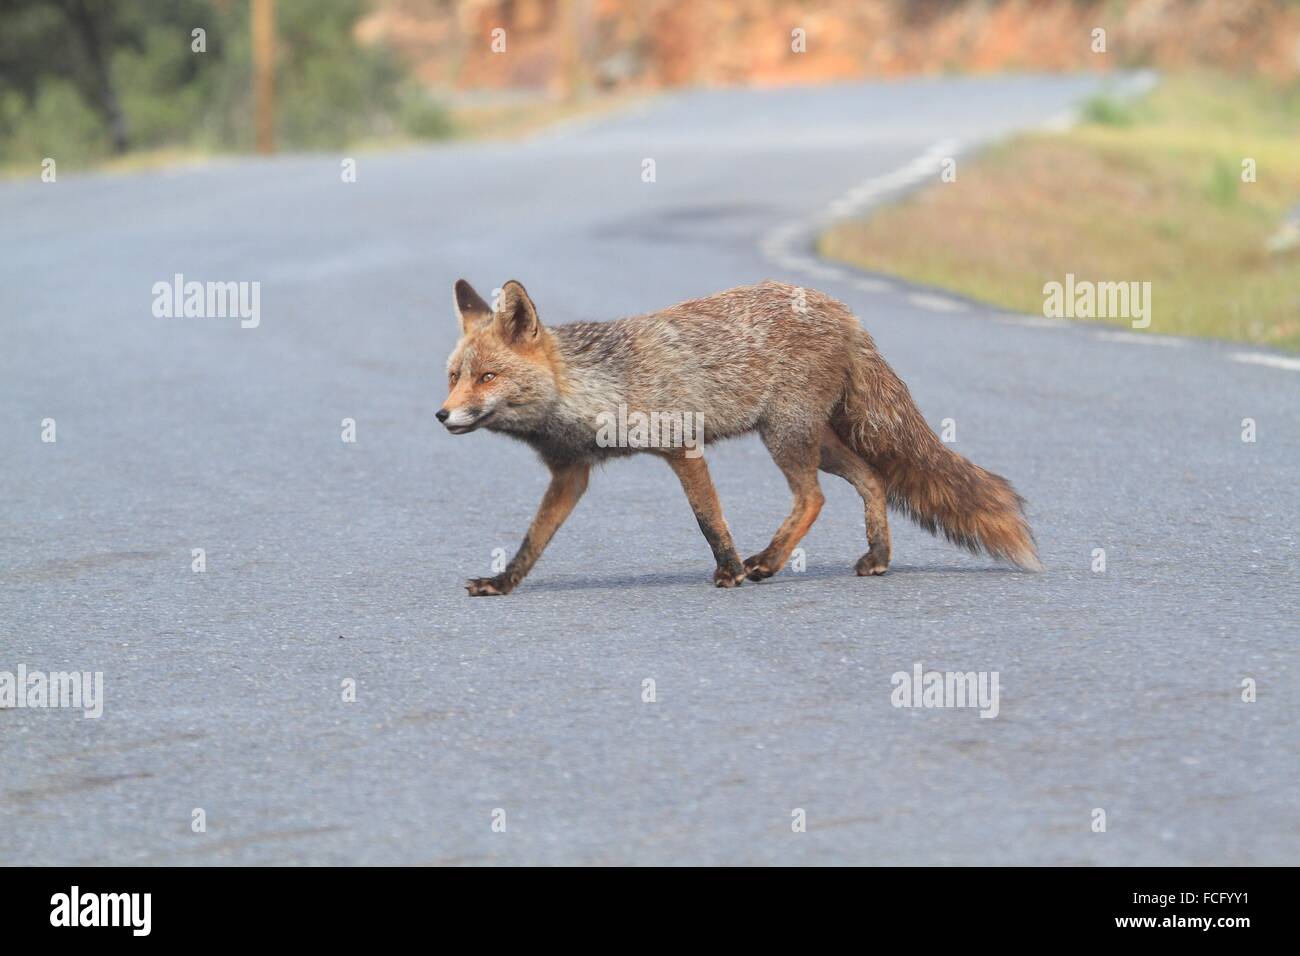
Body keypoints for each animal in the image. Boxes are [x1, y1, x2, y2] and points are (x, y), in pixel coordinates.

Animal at [438, 278, 1041, 595]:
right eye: (454, 376)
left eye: (487, 377)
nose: (442, 416)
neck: (595, 385)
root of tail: (842, 309)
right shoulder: (572, 473)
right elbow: (533, 540)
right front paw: (502, 582)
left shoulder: (683, 447)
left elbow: (710, 520)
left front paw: (728, 569)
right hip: (815, 441)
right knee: (871, 479)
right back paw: (876, 556)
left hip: (786, 438)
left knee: (813, 499)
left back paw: (768, 562)